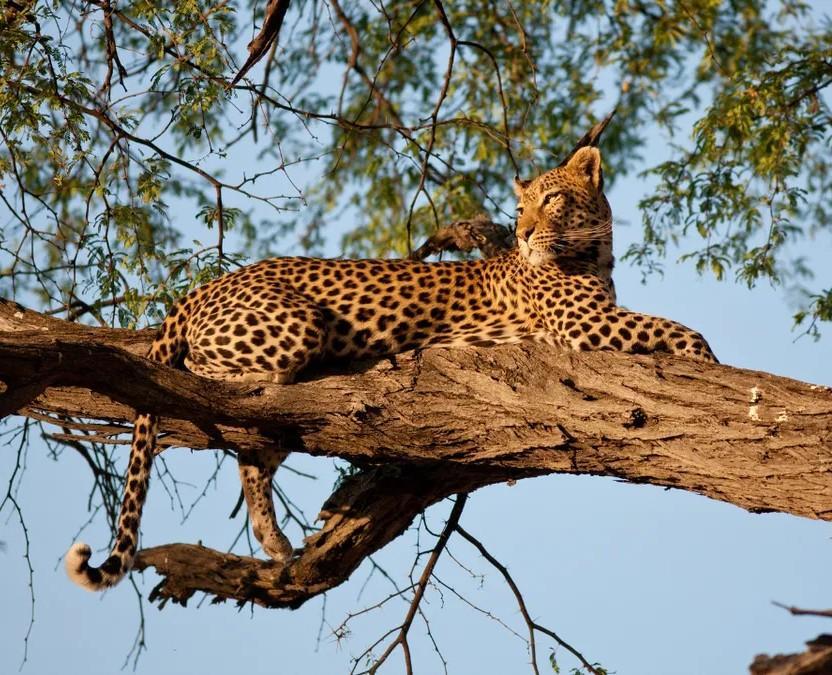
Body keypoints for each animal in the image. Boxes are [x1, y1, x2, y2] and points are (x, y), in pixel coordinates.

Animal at [65, 146, 716, 591]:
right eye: (519, 209)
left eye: (552, 199)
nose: (527, 231)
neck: (592, 251)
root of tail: (205, 287)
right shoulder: (585, 325)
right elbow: (681, 329)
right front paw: (709, 360)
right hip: (294, 327)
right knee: (203, 376)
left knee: (251, 451)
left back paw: (275, 540)